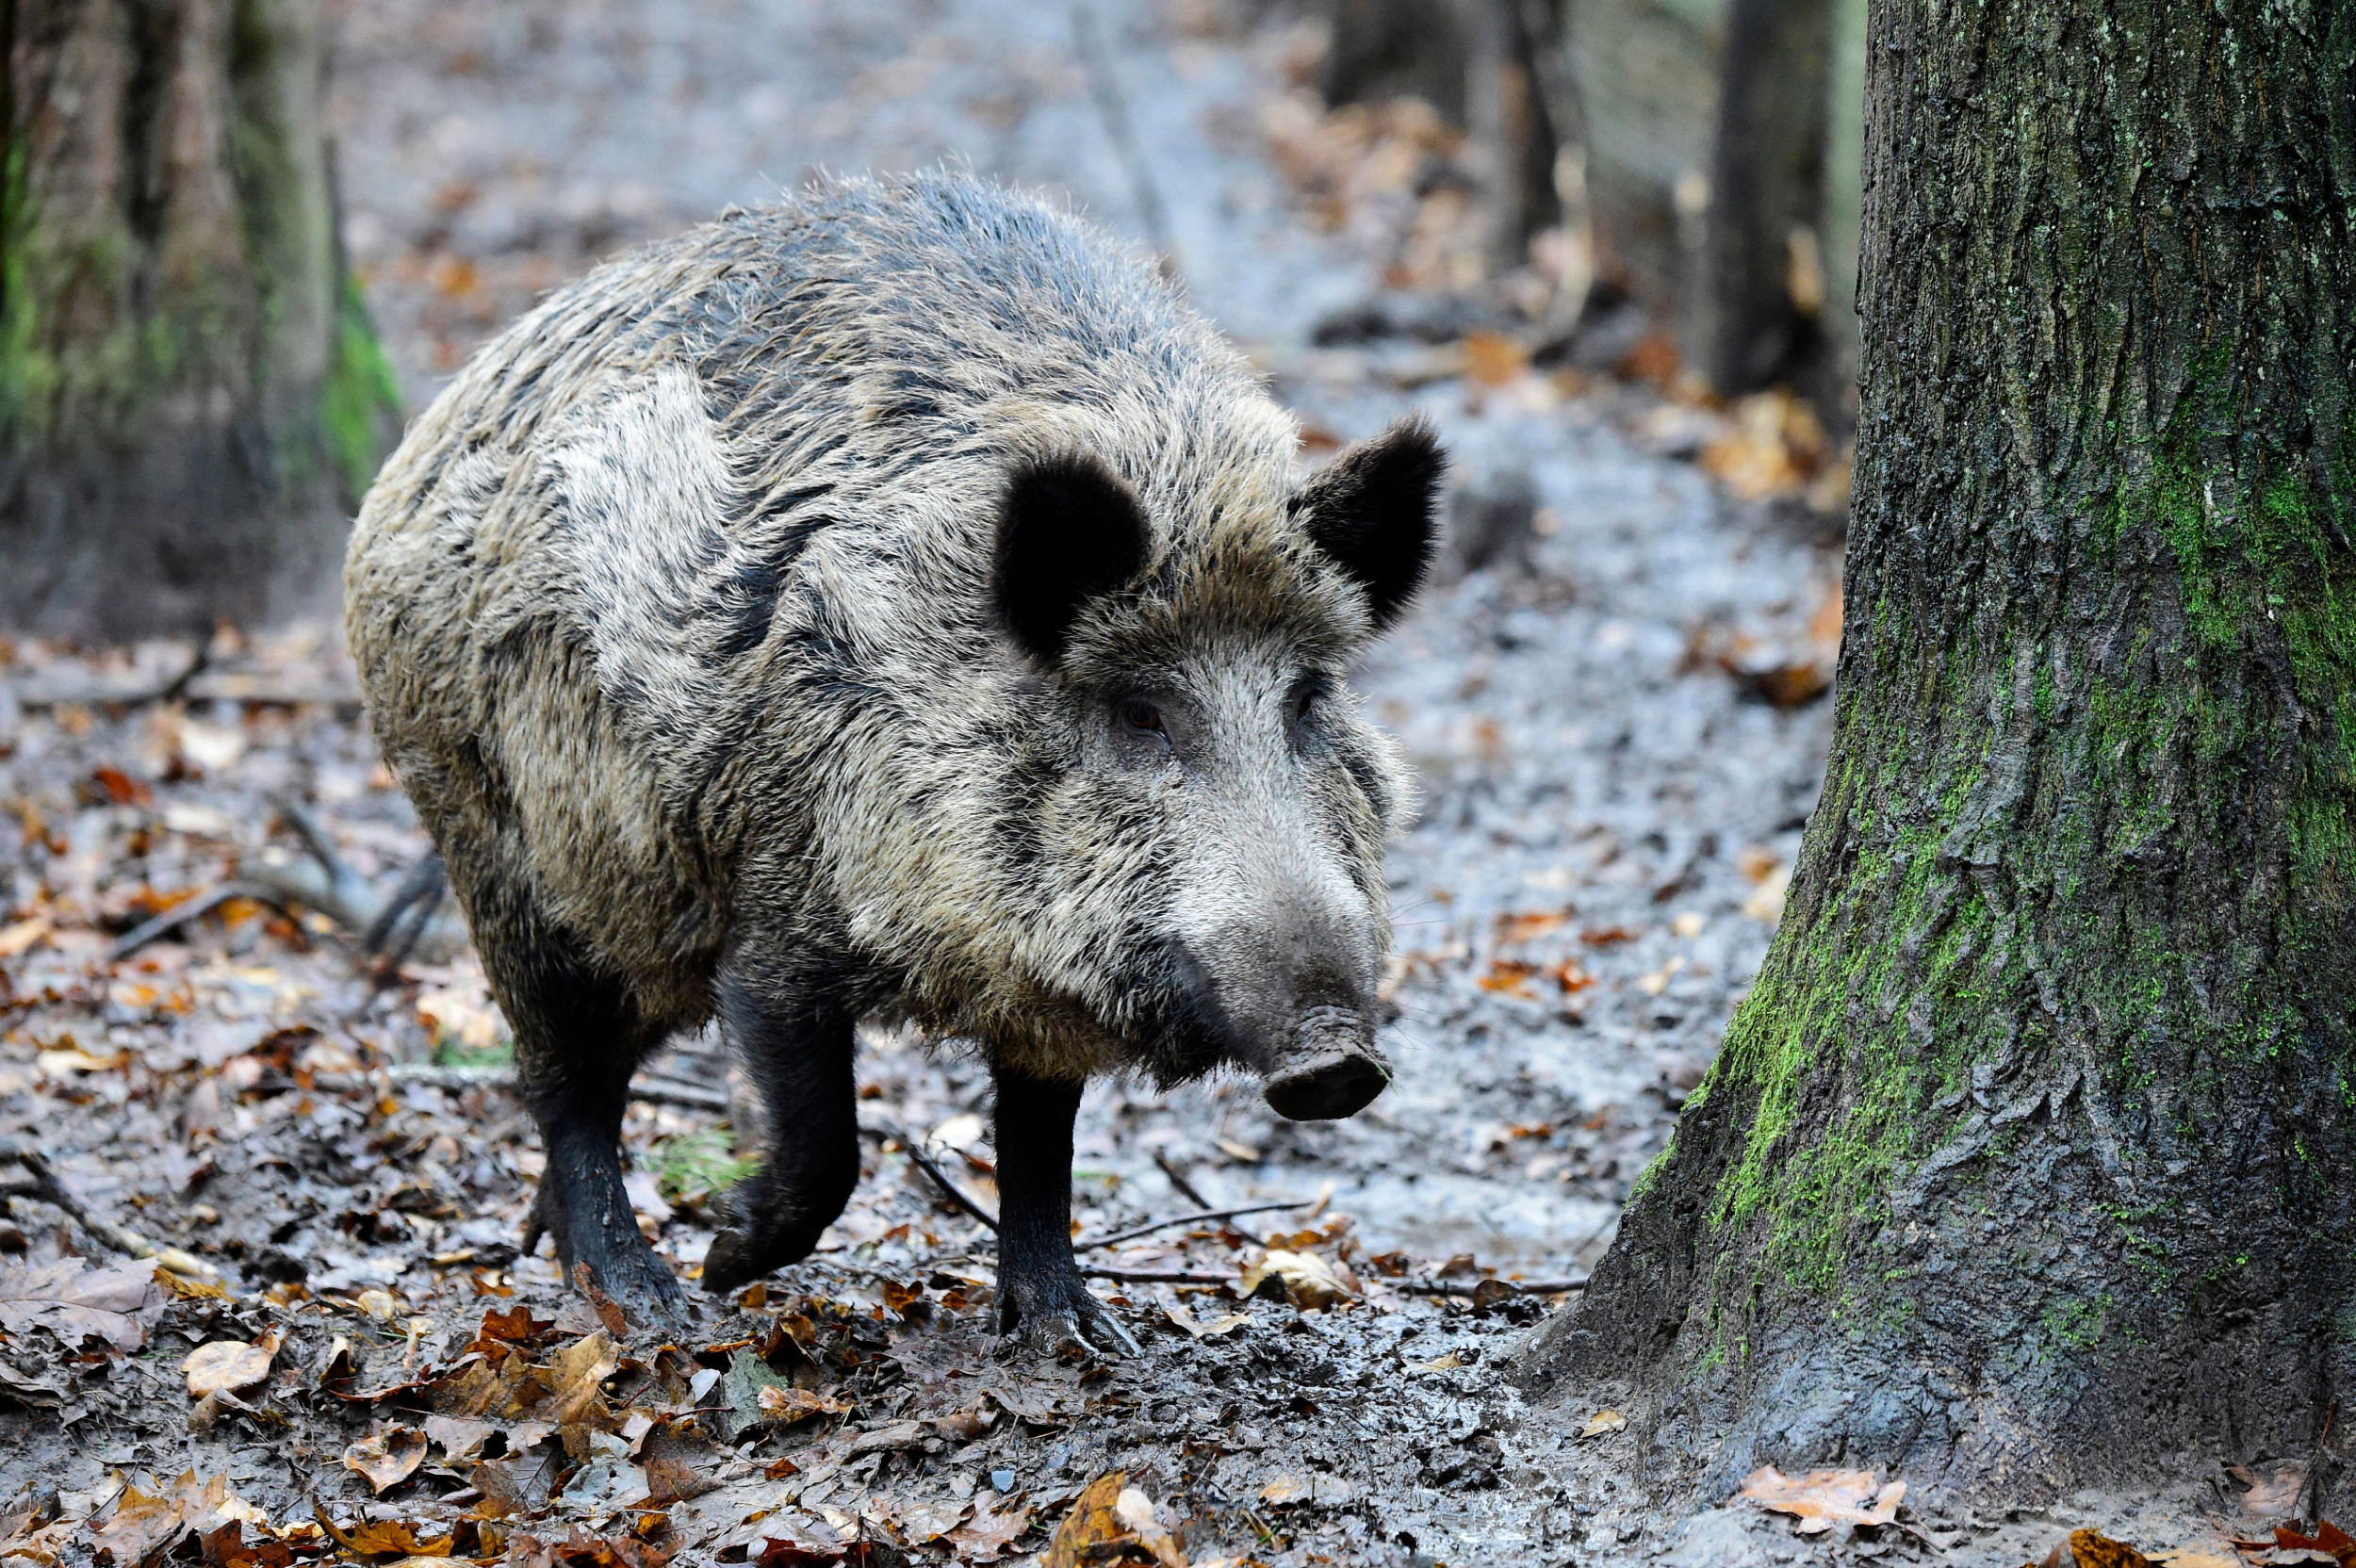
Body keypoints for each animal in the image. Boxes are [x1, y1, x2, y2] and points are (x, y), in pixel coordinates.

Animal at [343, 171, 1443, 1352]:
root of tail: (408, 463)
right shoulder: (774, 923)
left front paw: (1077, 1333)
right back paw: (646, 1302)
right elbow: (827, 1140)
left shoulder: (1036, 988)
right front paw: (727, 1260)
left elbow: (1040, 1143)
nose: (1337, 1060)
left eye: (1309, 697)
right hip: (500, 850)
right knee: (563, 1080)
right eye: (1140, 711)